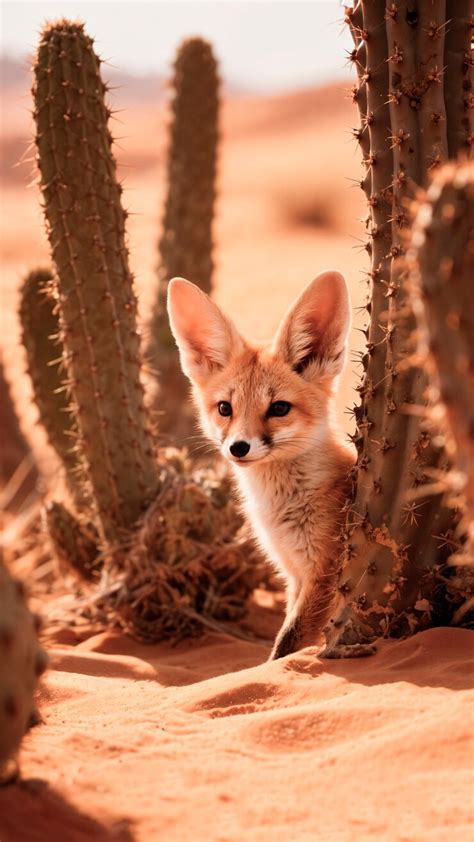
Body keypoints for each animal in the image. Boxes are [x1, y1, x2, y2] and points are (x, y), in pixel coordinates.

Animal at [167, 270, 355, 659]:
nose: (239, 447)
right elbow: (284, 641)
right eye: (225, 408)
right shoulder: (294, 576)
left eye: (279, 408)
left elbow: (287, 644)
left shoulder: (326, 575)